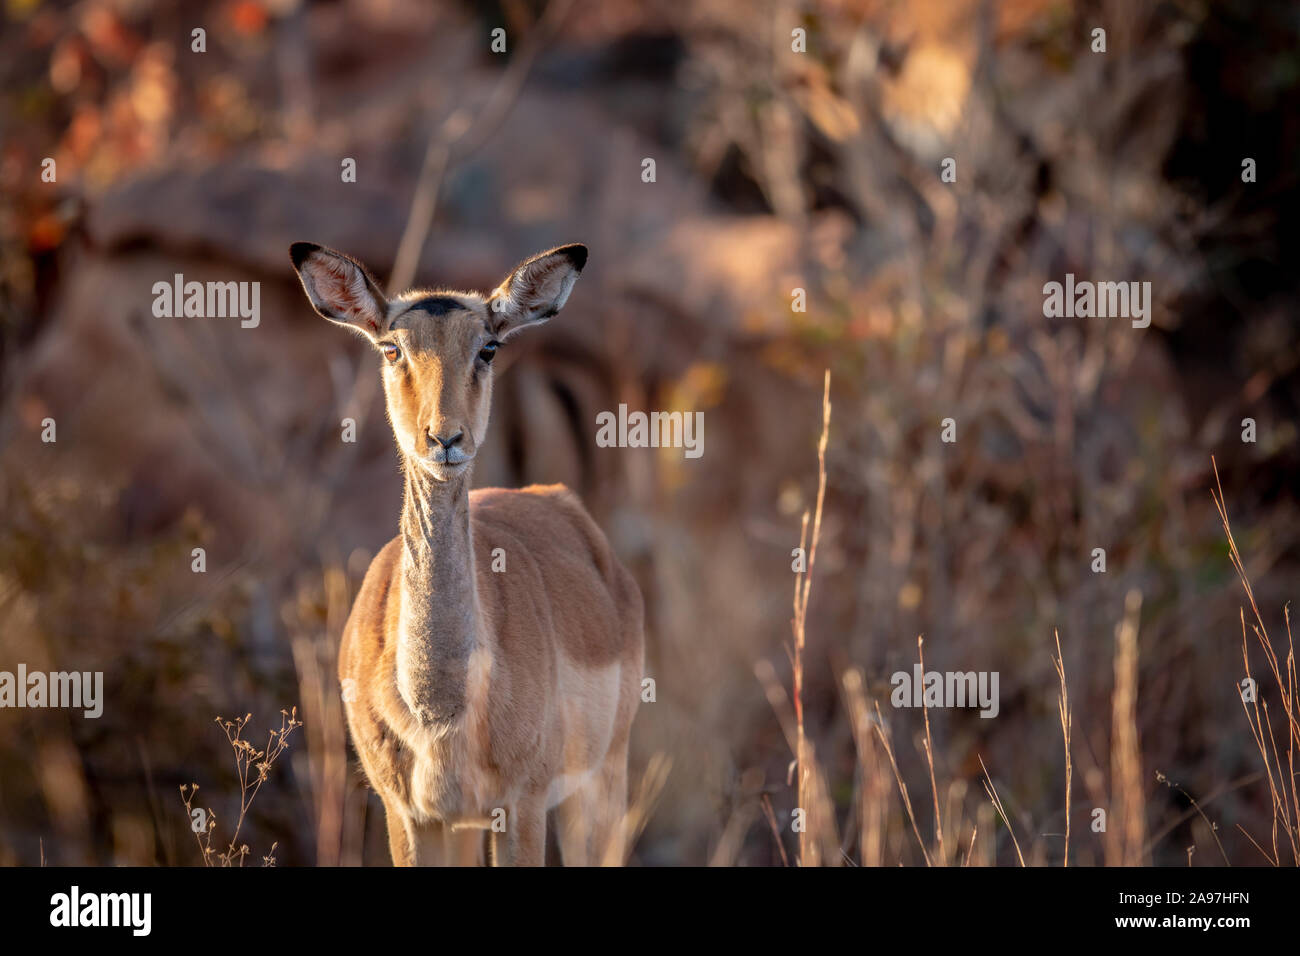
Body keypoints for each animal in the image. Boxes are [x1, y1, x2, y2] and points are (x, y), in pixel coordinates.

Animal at [290, 241, 644, 866]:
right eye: (392, 348)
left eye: (488, 346)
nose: (445, 439)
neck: (441, 707)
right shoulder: (412, 816)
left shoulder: (522, 807)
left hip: (599, 782)